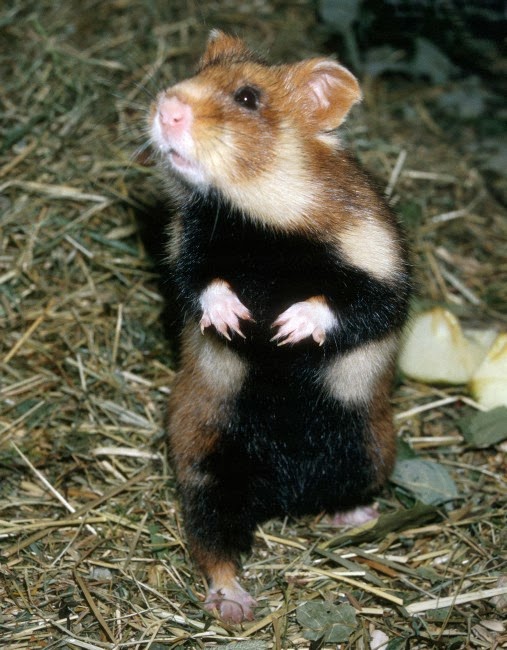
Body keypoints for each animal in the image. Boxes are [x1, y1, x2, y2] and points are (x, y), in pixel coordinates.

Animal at [149, 30, 410, 624]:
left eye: (248, 98)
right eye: (191, 74)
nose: (164, 107)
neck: (260, 212)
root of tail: (284, 499)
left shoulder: (385, 269)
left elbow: (355, 304)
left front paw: (285, 329)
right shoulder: (186, 252)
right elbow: (201, 287)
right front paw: (238, 321)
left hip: (369, 446)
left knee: (349, 488)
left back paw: (354, 517)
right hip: (206, 465)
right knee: (214, 542)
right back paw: (234, 604)